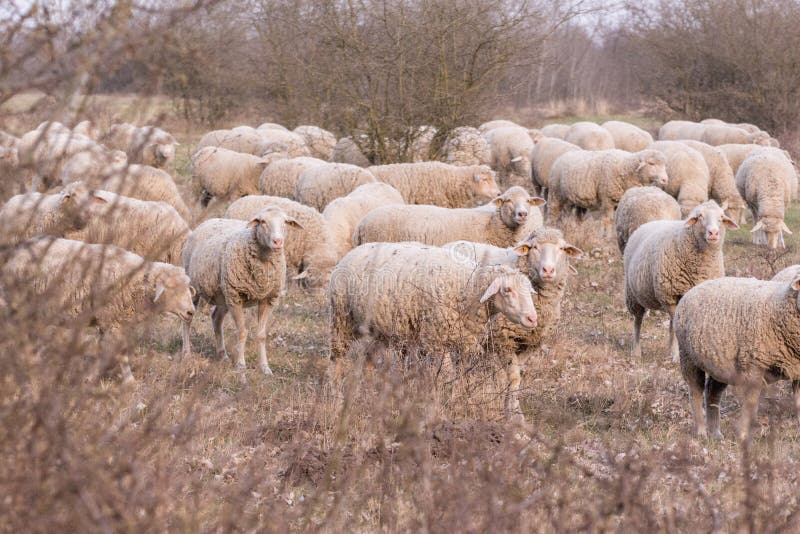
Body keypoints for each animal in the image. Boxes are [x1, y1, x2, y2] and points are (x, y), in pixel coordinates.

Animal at [1, 236, 195, 382]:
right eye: (173, 288)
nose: (191, 312)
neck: (135, 282)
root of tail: (15, 254)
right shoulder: (111, 320)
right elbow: (119, 352)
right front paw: (129, 381)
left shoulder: (108, 321)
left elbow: (104, 352)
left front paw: (91, 376)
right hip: (21, 305)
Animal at [181, 206, 301, 375]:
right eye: (263, 221)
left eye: (285, 222)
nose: (278, 241)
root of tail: (210, 220)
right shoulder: (236, 297)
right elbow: (242, 332)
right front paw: (241, 365)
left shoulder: (268, 299)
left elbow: (261, 335)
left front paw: (265, 367)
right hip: (195, 287)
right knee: (187, 319)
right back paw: (186, 353)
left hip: (224, 295)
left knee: (216, 318)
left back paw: (222, 355)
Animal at [328, 242, 538, 376]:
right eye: (507, 290)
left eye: (529, 290)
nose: (532, 319)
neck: (467, 287)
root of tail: (351, 252)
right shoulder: (436, 340)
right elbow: (446, 374)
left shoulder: (463, 342)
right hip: (341, 318)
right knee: (336, 358)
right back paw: (336, 394)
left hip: (375, 329)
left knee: (369, 361)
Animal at [624, 200, 738, 362]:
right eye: (700, 216)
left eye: (722, 217)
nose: (713, 233)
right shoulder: (670, 296)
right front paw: (677, 355)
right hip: (632, 293)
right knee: (638, 320)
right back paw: (636, 350)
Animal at [675, 274, 800, 440]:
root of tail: (694, 288)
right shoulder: (754, 367)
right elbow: (751, 404)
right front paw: (743, 435)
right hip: (688, 357)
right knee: (695, 392)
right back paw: (701, 432)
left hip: (720, 365)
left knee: (712, 393)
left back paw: (715, 434)